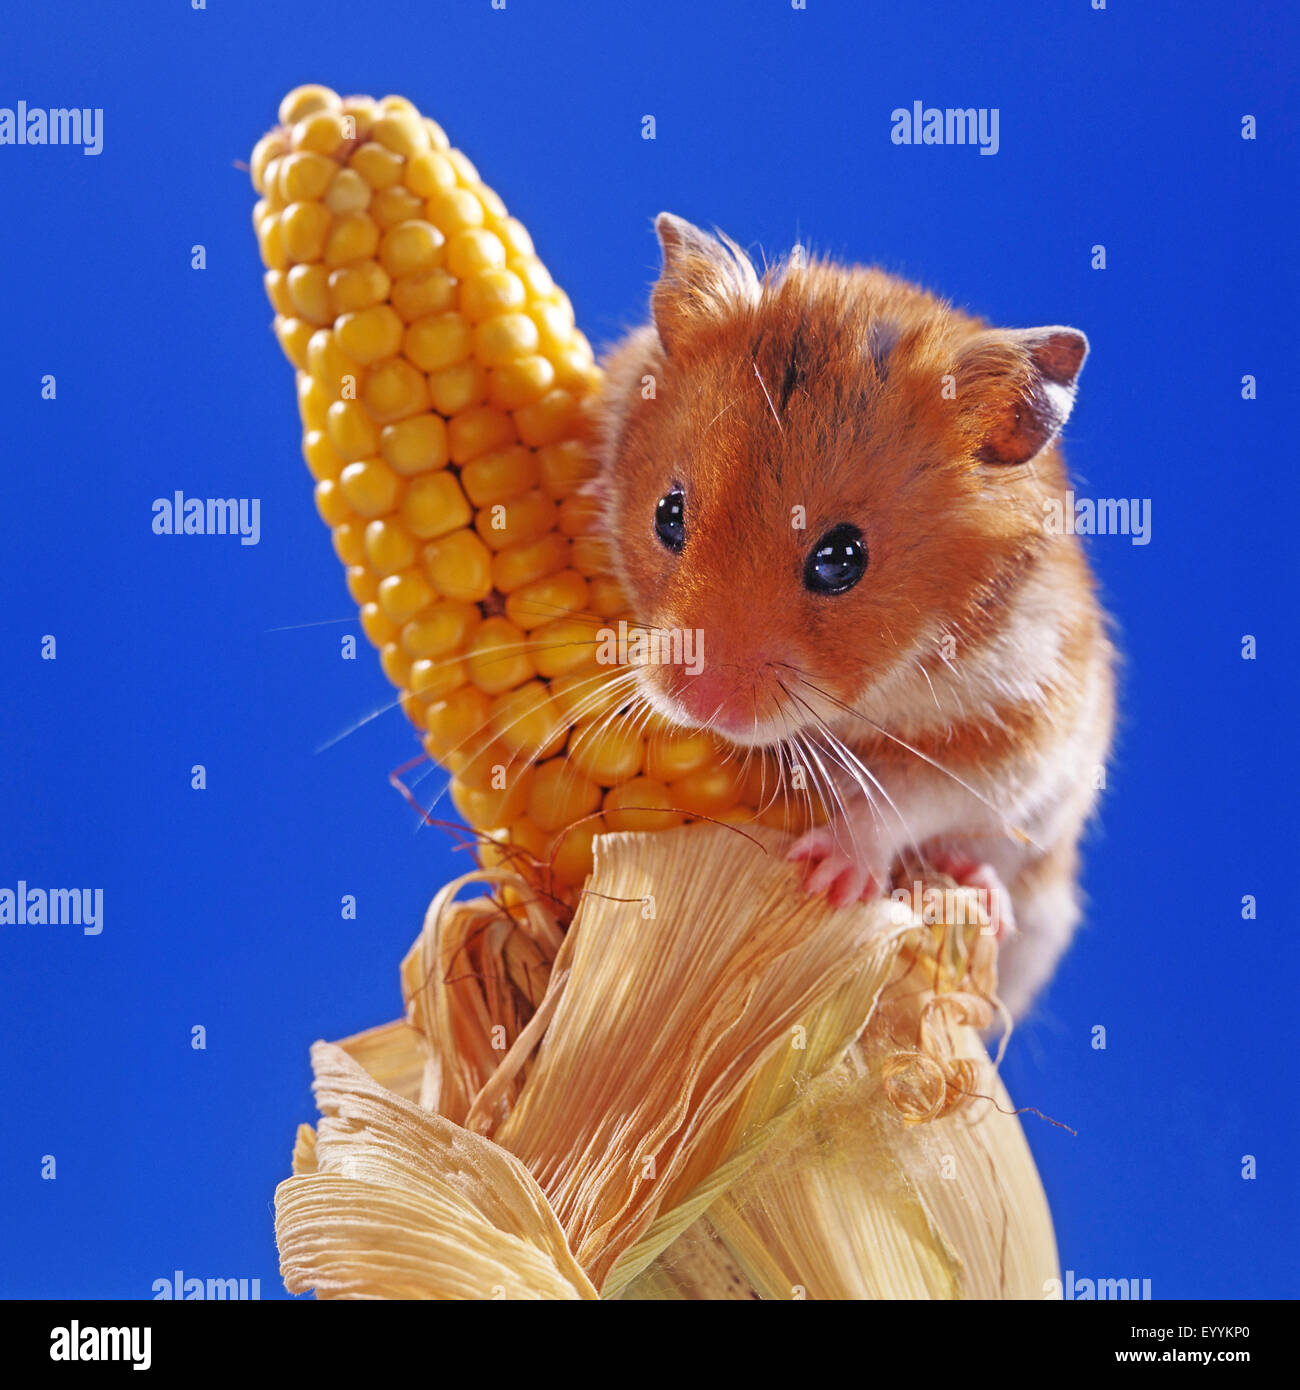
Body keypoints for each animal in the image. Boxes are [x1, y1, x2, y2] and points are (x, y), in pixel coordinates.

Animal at [589, 213, 1115, 1018]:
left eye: (841, 560)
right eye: (668, 515)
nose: (695, 705)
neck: (879, 687)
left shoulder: (1022, 731)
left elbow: (911, 796)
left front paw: (825, 878)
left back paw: (978, 889)